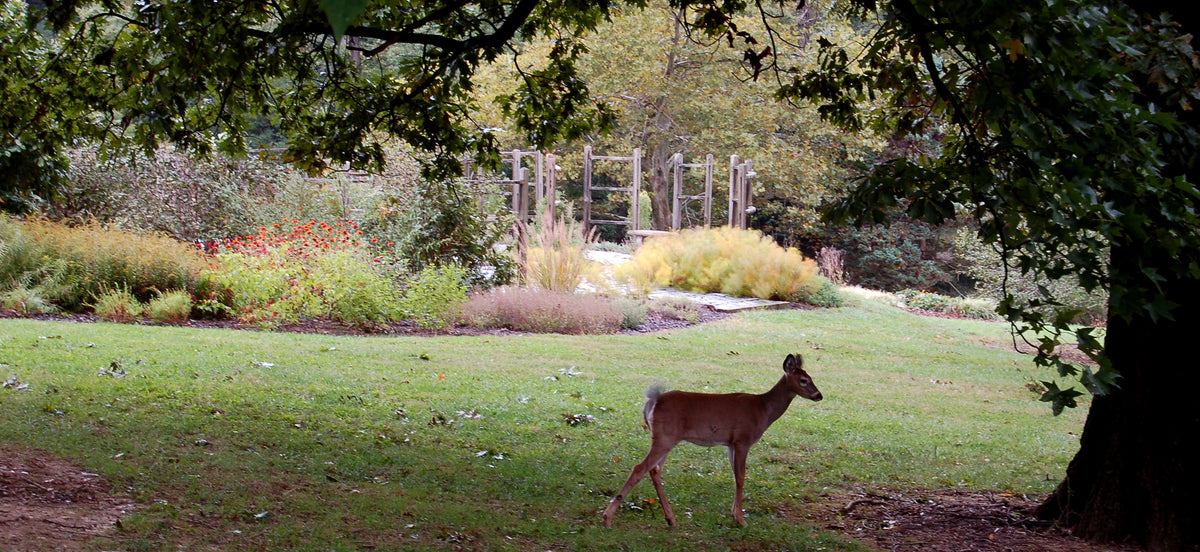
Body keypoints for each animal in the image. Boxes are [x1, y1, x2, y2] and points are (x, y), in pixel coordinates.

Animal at [601, 353, 822, 528]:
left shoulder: (730, 443)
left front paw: (734, 514)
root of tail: (651, 402)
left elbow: (735, 475)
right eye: (803, 380)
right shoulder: (743, 439)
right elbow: (741, 476)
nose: (819, 395)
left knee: (654, 470)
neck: (763, 409)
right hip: (665, 437)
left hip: (666, 438)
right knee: (640, 467)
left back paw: (670, 519)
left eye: (811, 377)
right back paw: (607, 518)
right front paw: (741, 520)